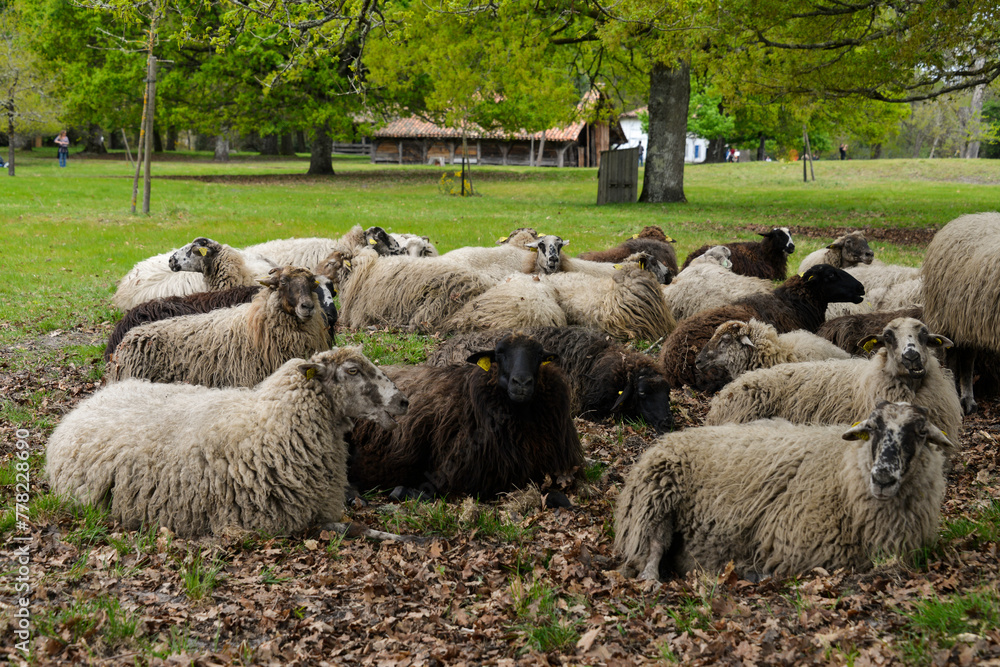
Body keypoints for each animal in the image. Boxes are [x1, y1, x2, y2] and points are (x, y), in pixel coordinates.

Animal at [46, 348, 408, 537]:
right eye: (352, 370)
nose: (403, 401)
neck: (274, 423)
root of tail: (87, 403)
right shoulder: (296, 523)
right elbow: (363, 530)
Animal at [614, 401, 952, 580]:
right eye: (873, 429)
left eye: (921, 433)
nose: (882, 478)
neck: (841, 470)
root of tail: (666, 440)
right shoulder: (796, 547)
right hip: (656, 498)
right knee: (652, 549)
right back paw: (651, 580)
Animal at [922, 211, 1000, 414]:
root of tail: (966, 217)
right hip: (949, 316)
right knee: (955, 358)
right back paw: (959, 397)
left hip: (967, 319)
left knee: (967, 358)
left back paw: (968, 399)